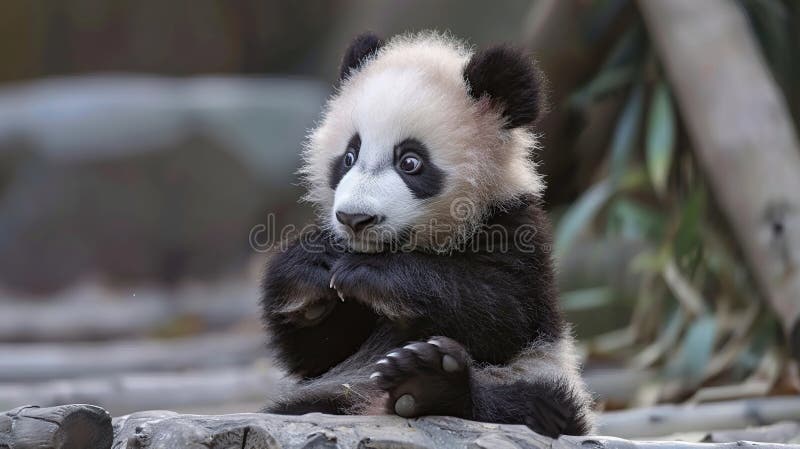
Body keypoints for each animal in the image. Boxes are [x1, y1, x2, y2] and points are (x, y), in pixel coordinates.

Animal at [260, 31, 594, 437]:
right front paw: (311, 266)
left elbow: (502, 311)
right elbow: (321, 352)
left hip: (542, 374)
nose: (354, 218)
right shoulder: (343, 343)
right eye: (349, 157)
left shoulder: (516, 228)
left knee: (535, 405)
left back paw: (426, 380)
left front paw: (376, 274)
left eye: (410, 162)